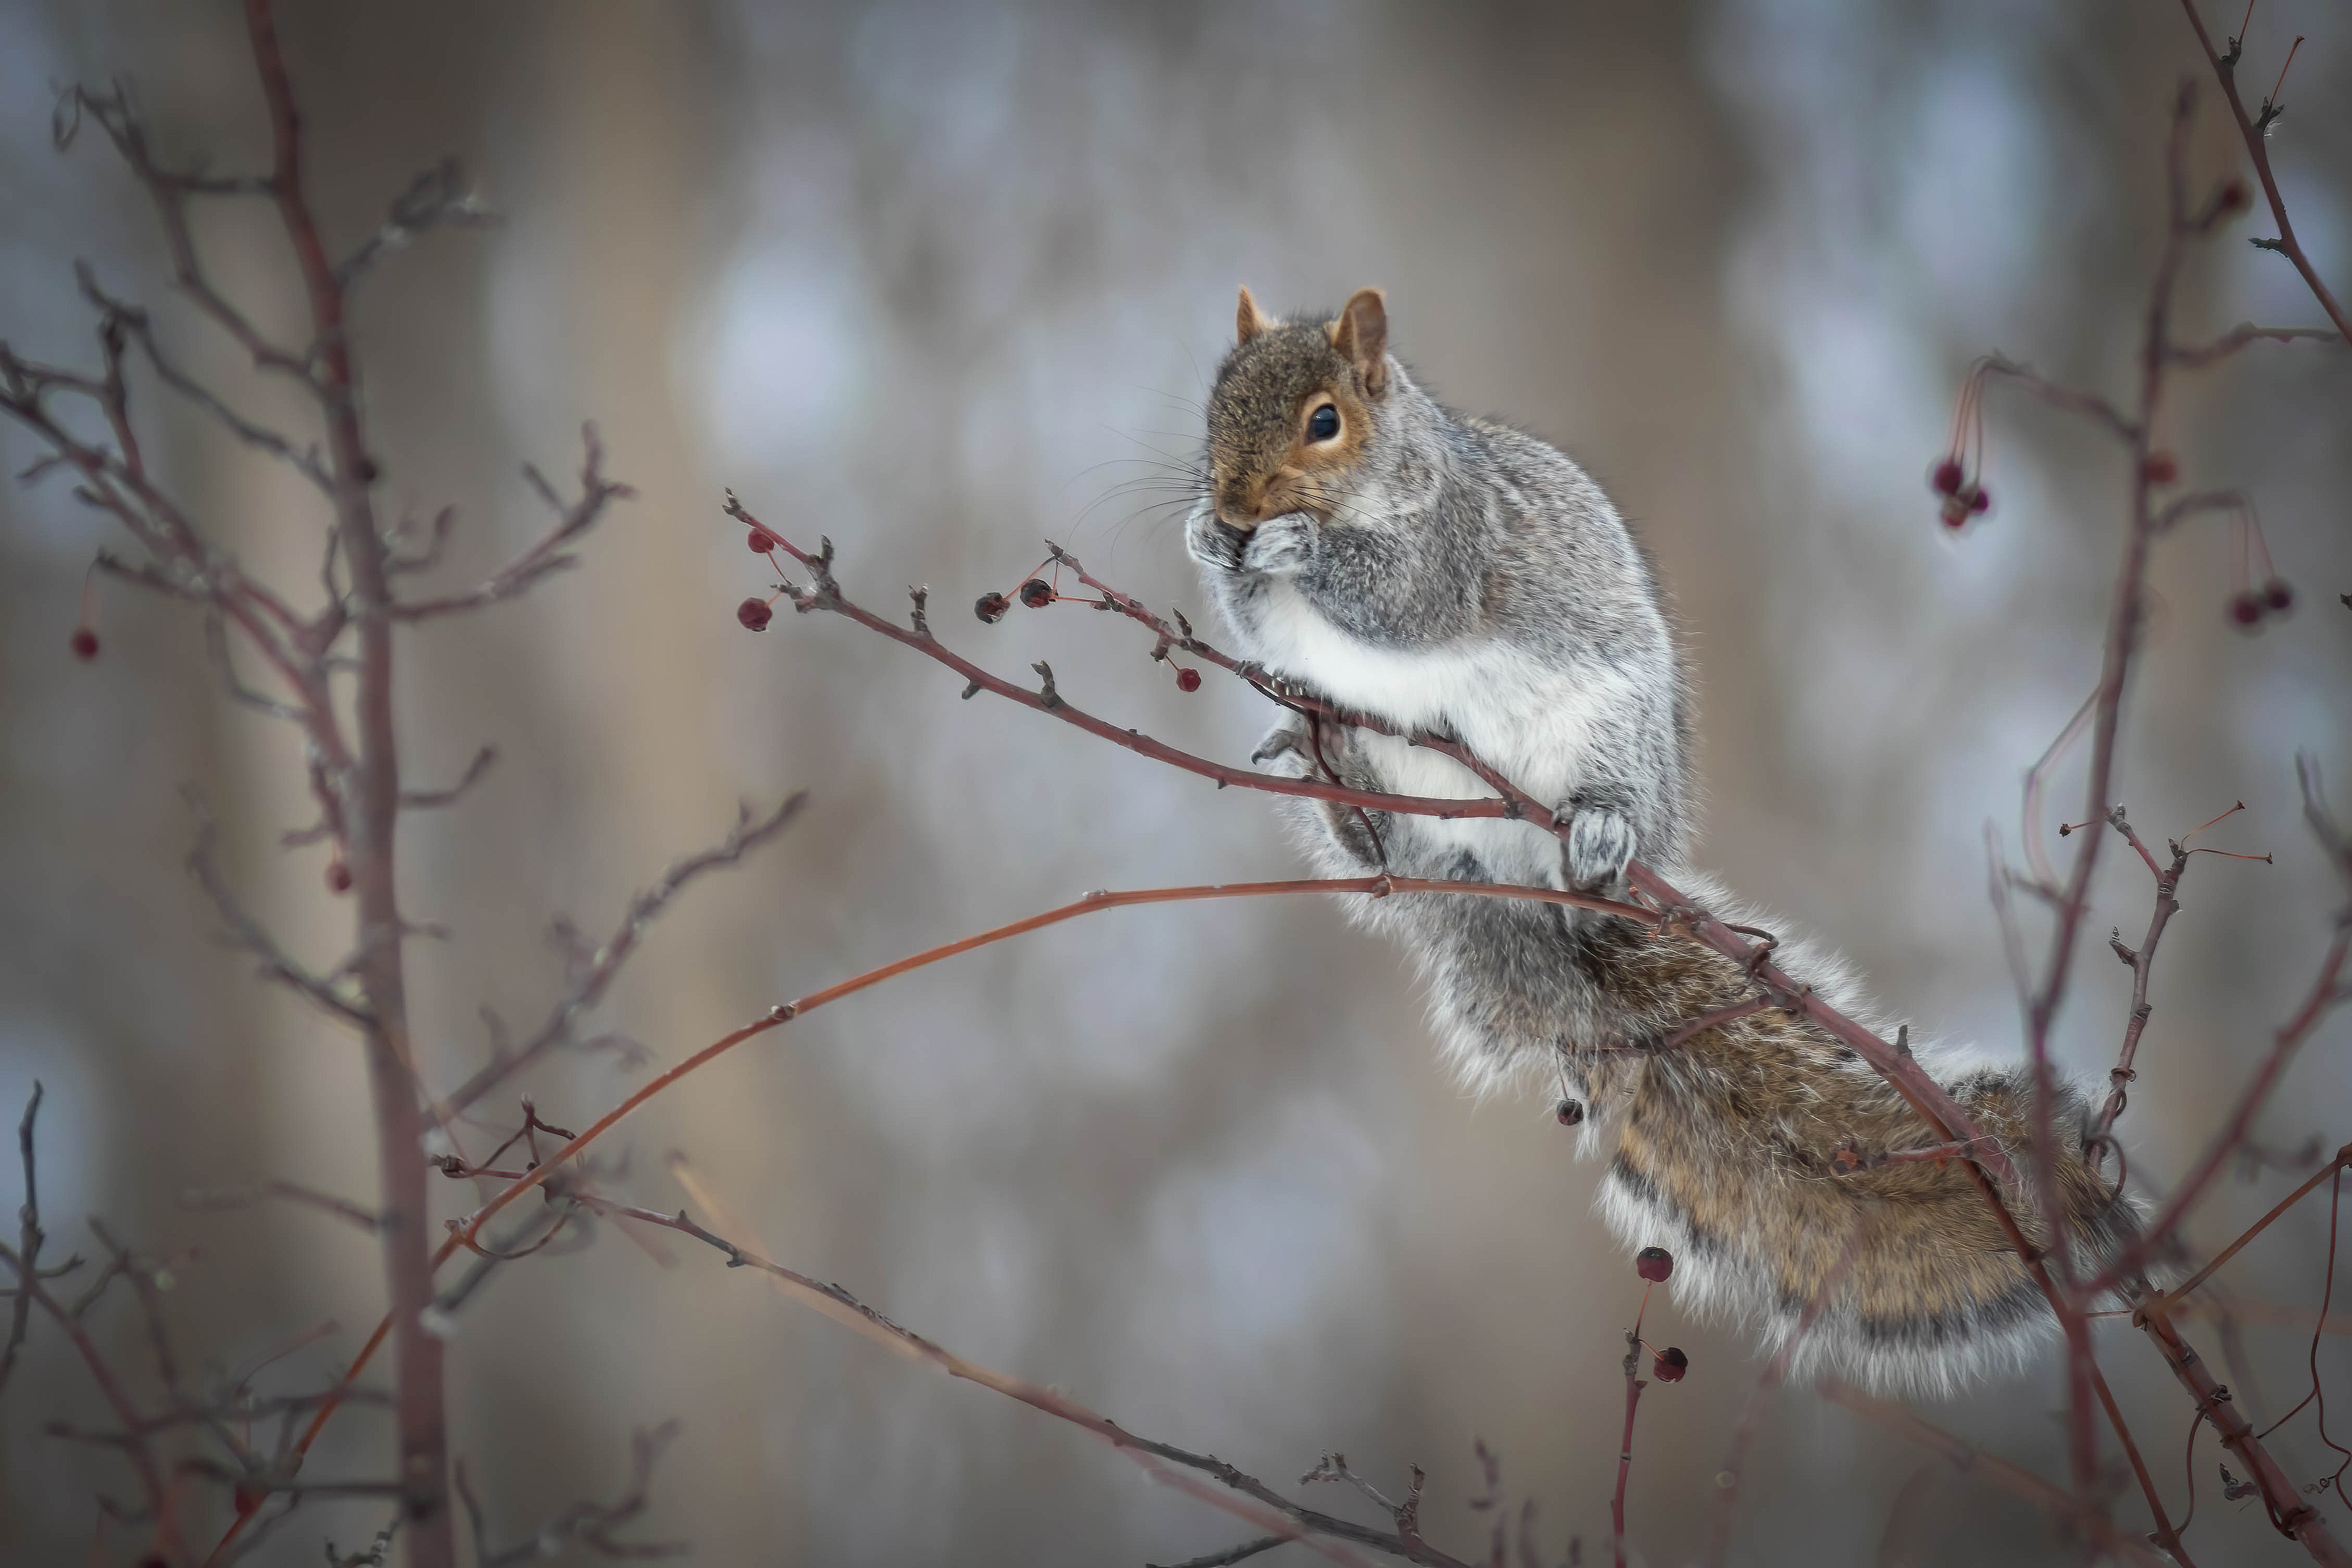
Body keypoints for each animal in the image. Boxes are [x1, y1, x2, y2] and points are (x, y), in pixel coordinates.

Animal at [1185, 285, 2135, 1395]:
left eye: (1326, 421)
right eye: (1214, 404)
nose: (1236, 507)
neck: (1393, 475)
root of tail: (1501, 874)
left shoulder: (1458, 546)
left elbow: (1403, 597)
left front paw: (1294, 549)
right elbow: (1257, 621)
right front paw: (1210, 544)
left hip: (1610, 736)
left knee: (1583, 805)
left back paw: (1595, 825)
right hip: (1392, 800)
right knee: (1378, 851)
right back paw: (1333, 770)